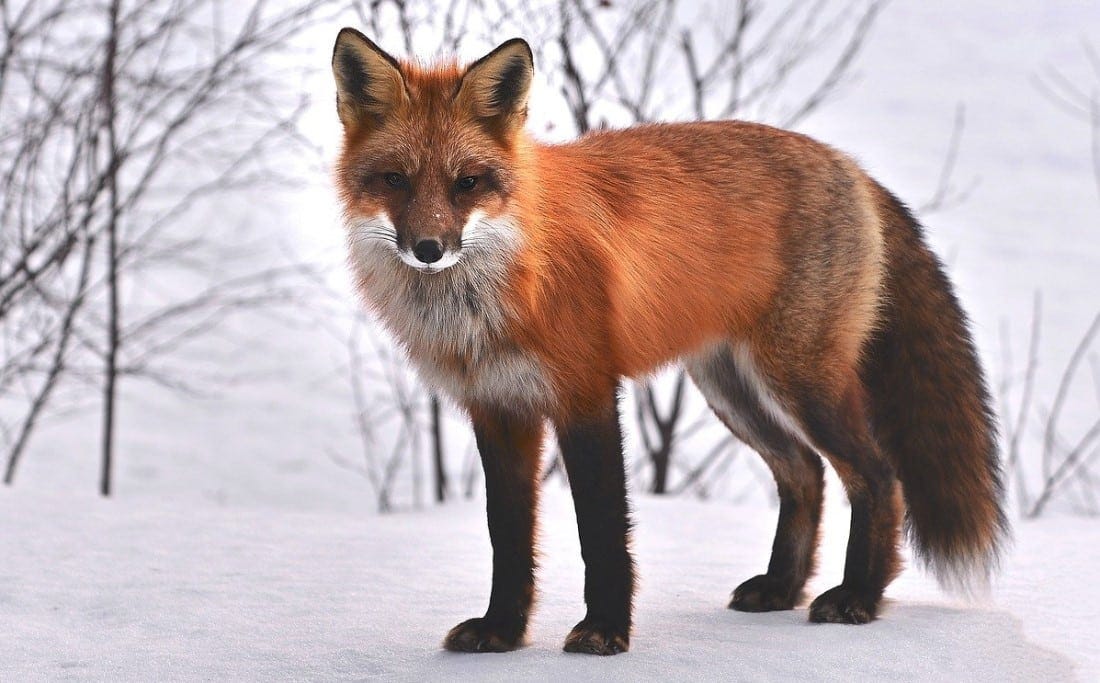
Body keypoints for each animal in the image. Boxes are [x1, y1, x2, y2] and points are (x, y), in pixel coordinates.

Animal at [330, 29, 1007, 656]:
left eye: (467, 183)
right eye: (394, 180)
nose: (428, 249)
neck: (503, 283)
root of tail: (849, 165)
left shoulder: (586, 394)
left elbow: (602, 530)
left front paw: (605, 631)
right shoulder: (498, 409)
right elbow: (509, 537)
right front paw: (502, 632)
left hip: (800, 381)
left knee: (878, 476)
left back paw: (859, 597)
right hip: (731, 389)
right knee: (805, 472)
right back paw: (782, 589)